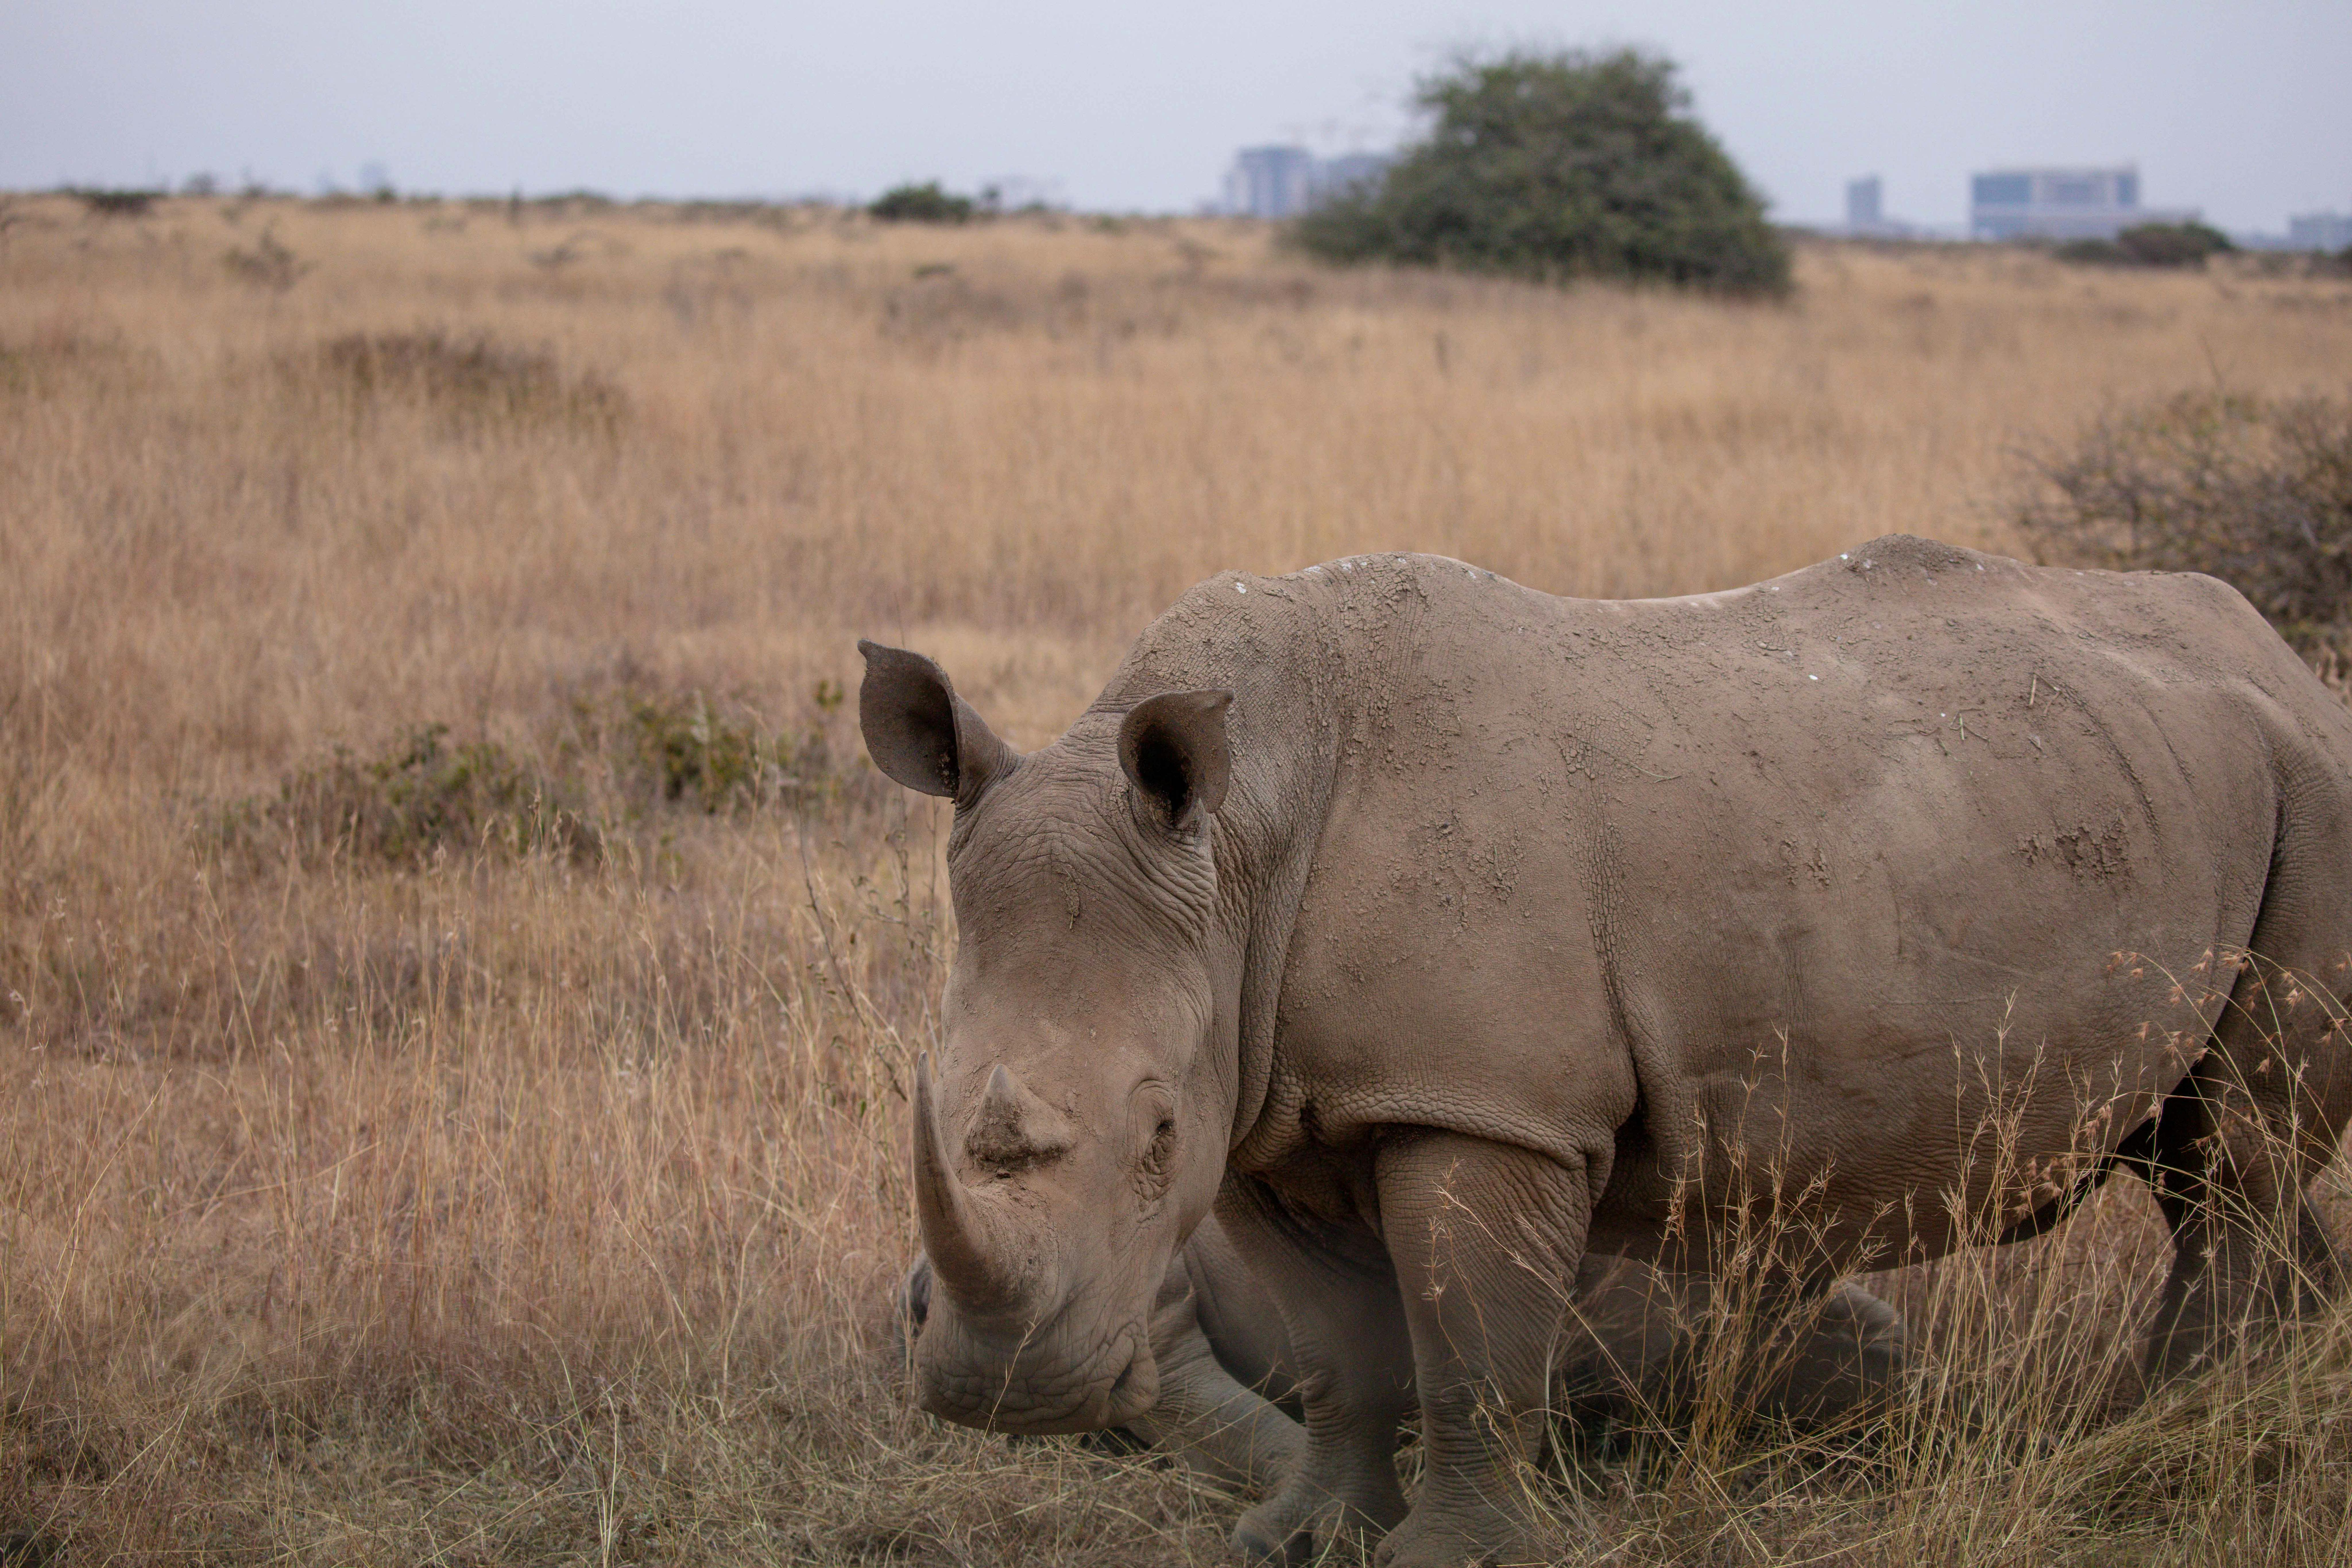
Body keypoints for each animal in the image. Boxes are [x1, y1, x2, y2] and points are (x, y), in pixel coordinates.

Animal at [861, 537, 2352, 1567]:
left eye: (1157, 1134)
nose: (1004, 1394)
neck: (1240, 846)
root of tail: (2286, 660)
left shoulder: (1486, 1104)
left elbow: (1467, 1346)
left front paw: (1454, 1558)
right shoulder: (1275, 1102)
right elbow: (1345, 1352)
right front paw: (1303, 1542)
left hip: (2310, 792)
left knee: (2233, 1160)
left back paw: (2159, 1446)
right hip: (2160, 789)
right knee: (2211, 1164)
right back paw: (2231, 1418)